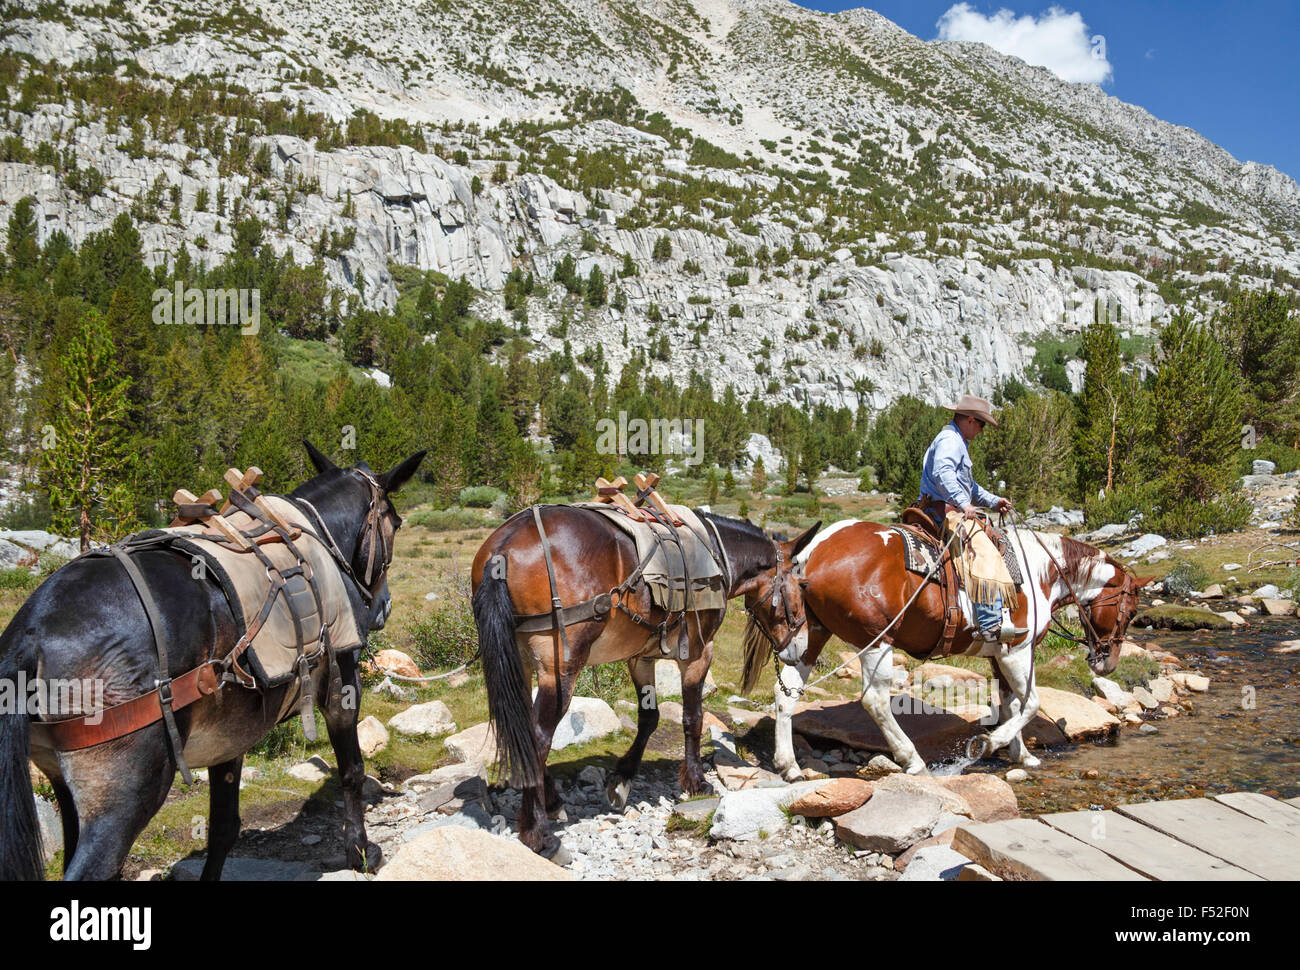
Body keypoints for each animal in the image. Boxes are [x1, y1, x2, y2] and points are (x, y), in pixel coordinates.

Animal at [0, 442, 424, 880]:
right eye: (396, 522)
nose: (383, 605)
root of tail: (31, 631)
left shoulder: (230, 735)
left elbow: (223, 827)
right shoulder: (342, 685)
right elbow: (352, 770)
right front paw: (359, 851)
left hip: (63, 782)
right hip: (125, 794)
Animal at [470, 505, 820, 857]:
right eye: (803, 585)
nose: (803, 646)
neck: (716, 554)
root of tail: (505, 545)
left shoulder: (642, 658)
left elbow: (649, 718)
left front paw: (622, 780)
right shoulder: (699, 654)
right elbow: (693, 718)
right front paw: (697, 781)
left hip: (520, 661)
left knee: (523, 730)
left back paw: (553, 803)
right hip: (561, 669)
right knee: (538, 738)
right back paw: (538, 833)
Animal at [739, 518, 1146, 780]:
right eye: (1130, 612)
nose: (1107, 663)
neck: (1039, 574)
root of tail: (816, 548)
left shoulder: (998, 655)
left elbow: (1008, 703)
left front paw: (1022, 754)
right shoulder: (1017, 649)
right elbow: (1029, 703)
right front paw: (989, 743)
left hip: (807, 636)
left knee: (786, 693)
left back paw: (789, 765)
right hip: (876, 640)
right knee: (875, 701)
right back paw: (912, 760)